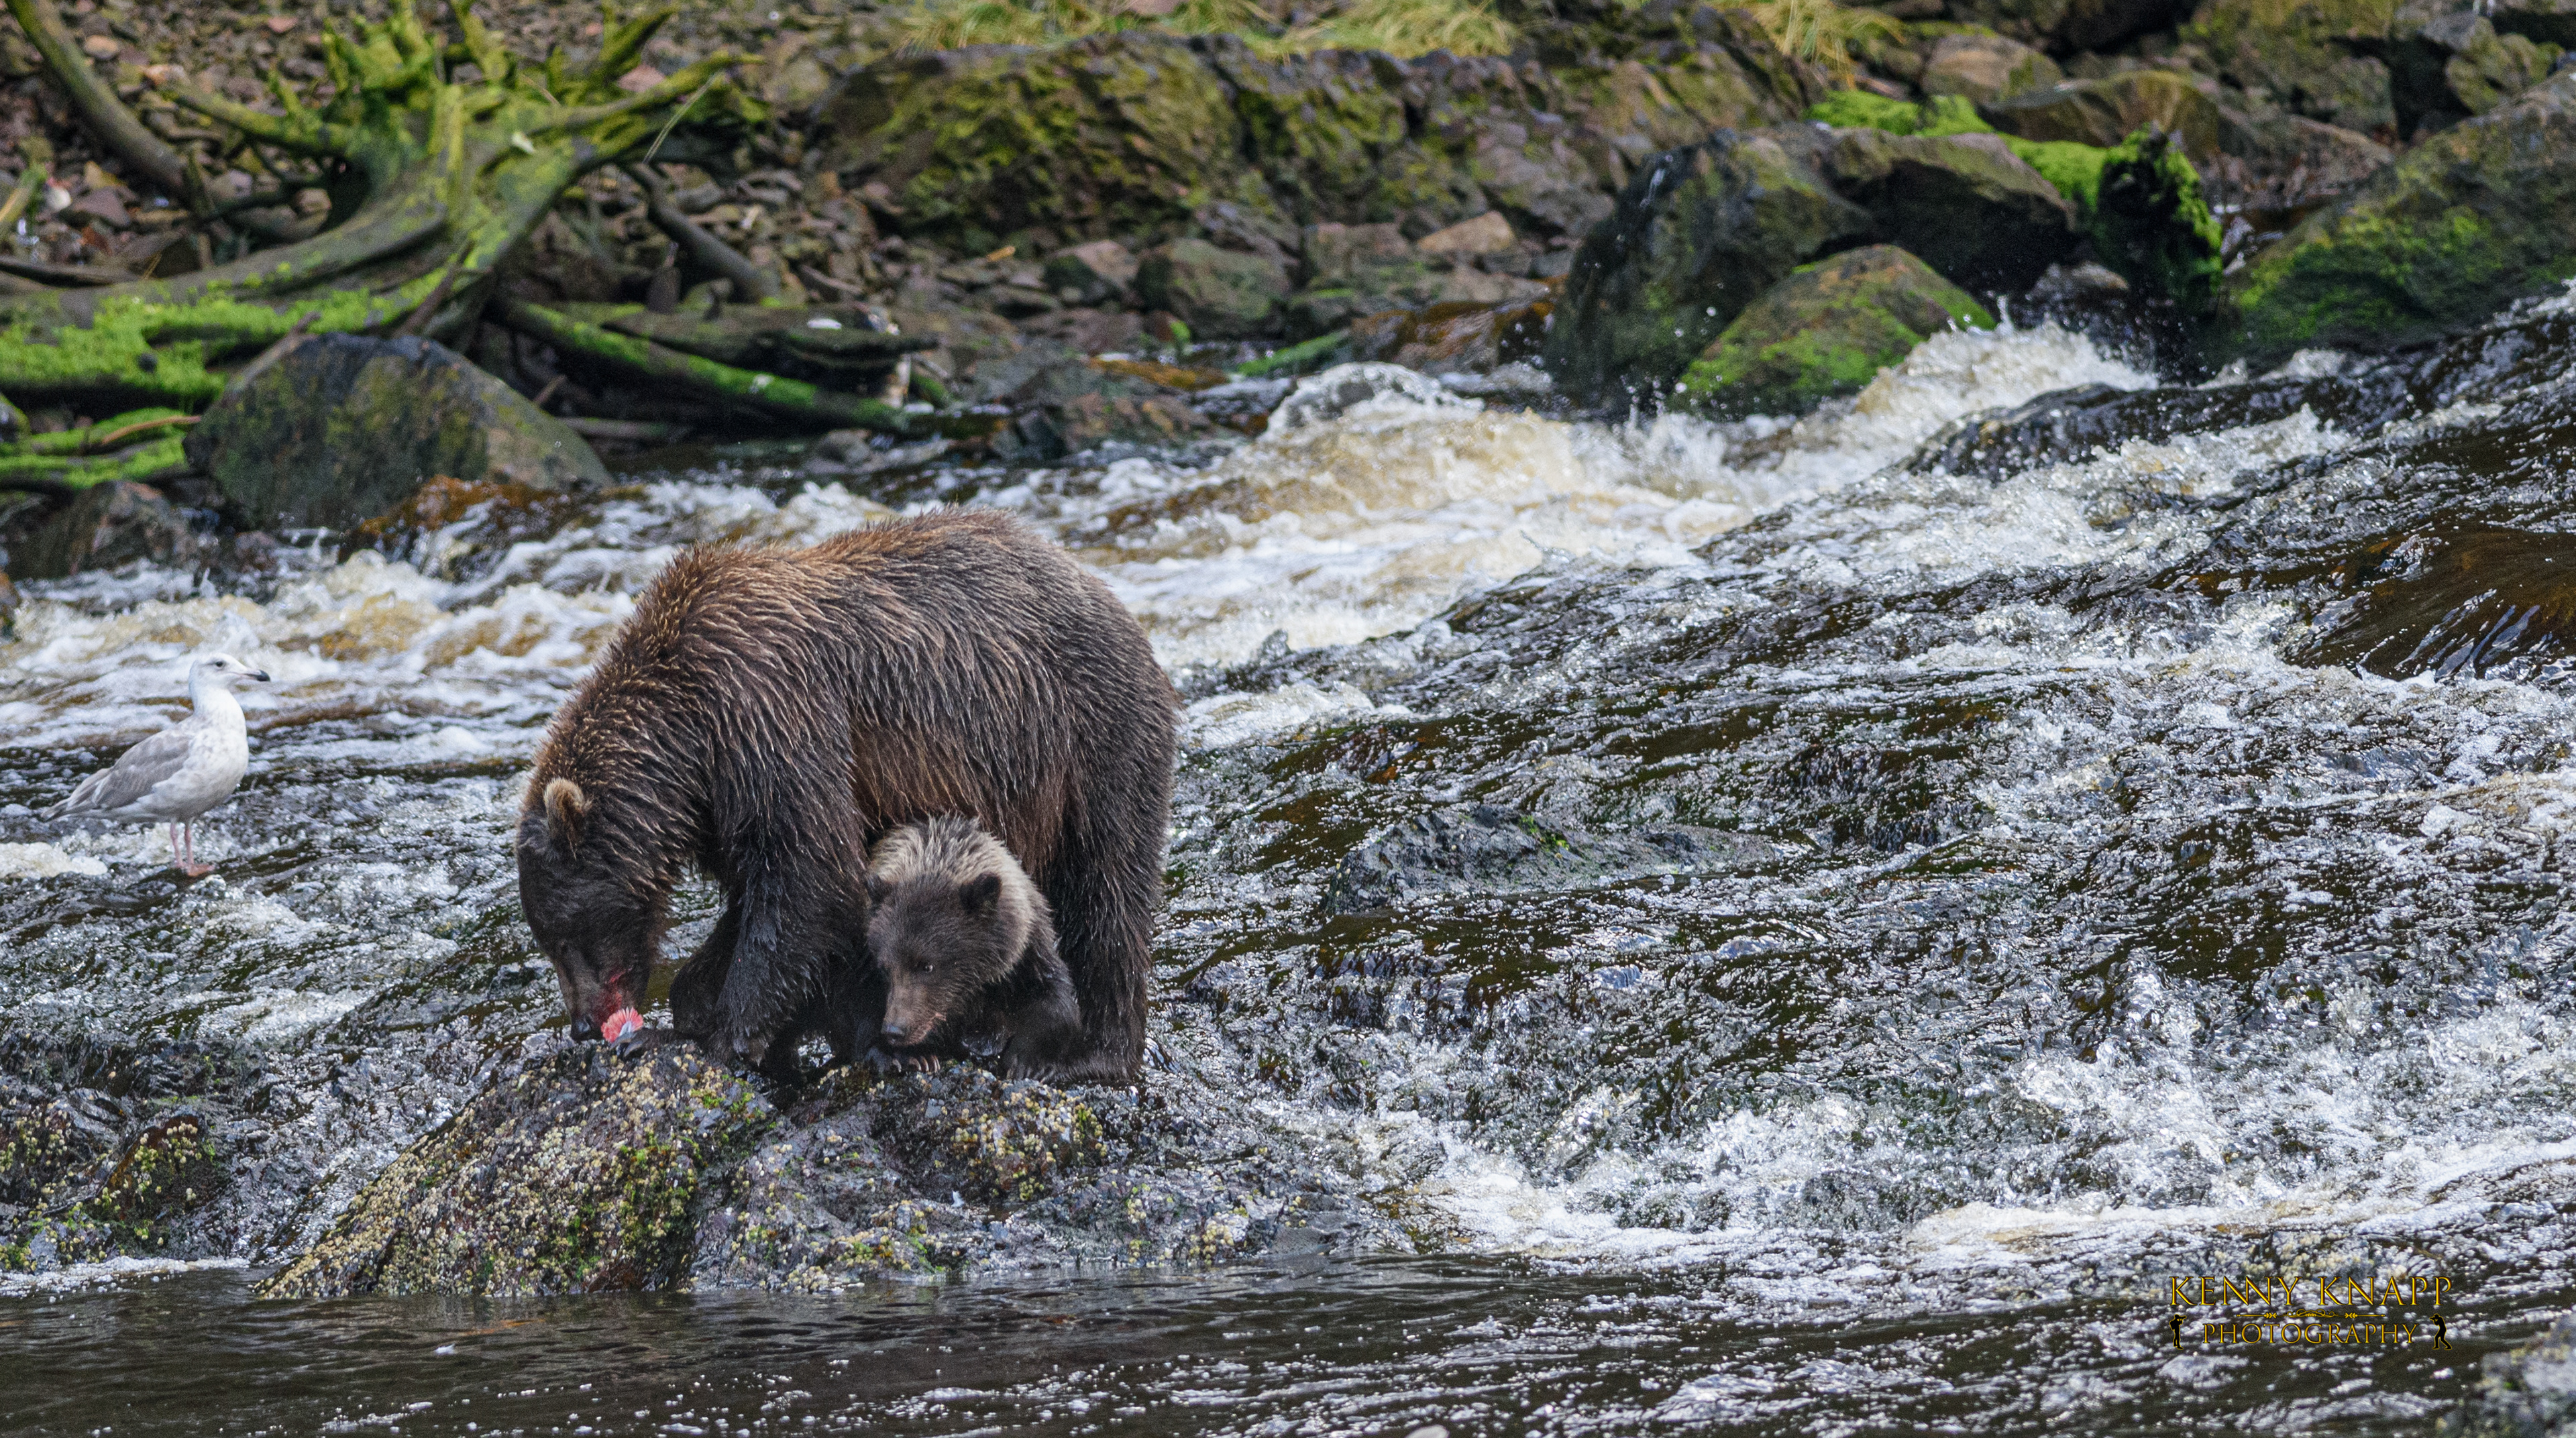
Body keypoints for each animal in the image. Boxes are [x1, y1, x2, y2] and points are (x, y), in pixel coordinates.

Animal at [859, 814, 1083, 1079]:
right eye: (885, 968)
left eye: (927, 966)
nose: (895, 1030)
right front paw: (915, 1057)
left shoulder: (1027, 954)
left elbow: (1057, 1001)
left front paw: (1026, 1061)